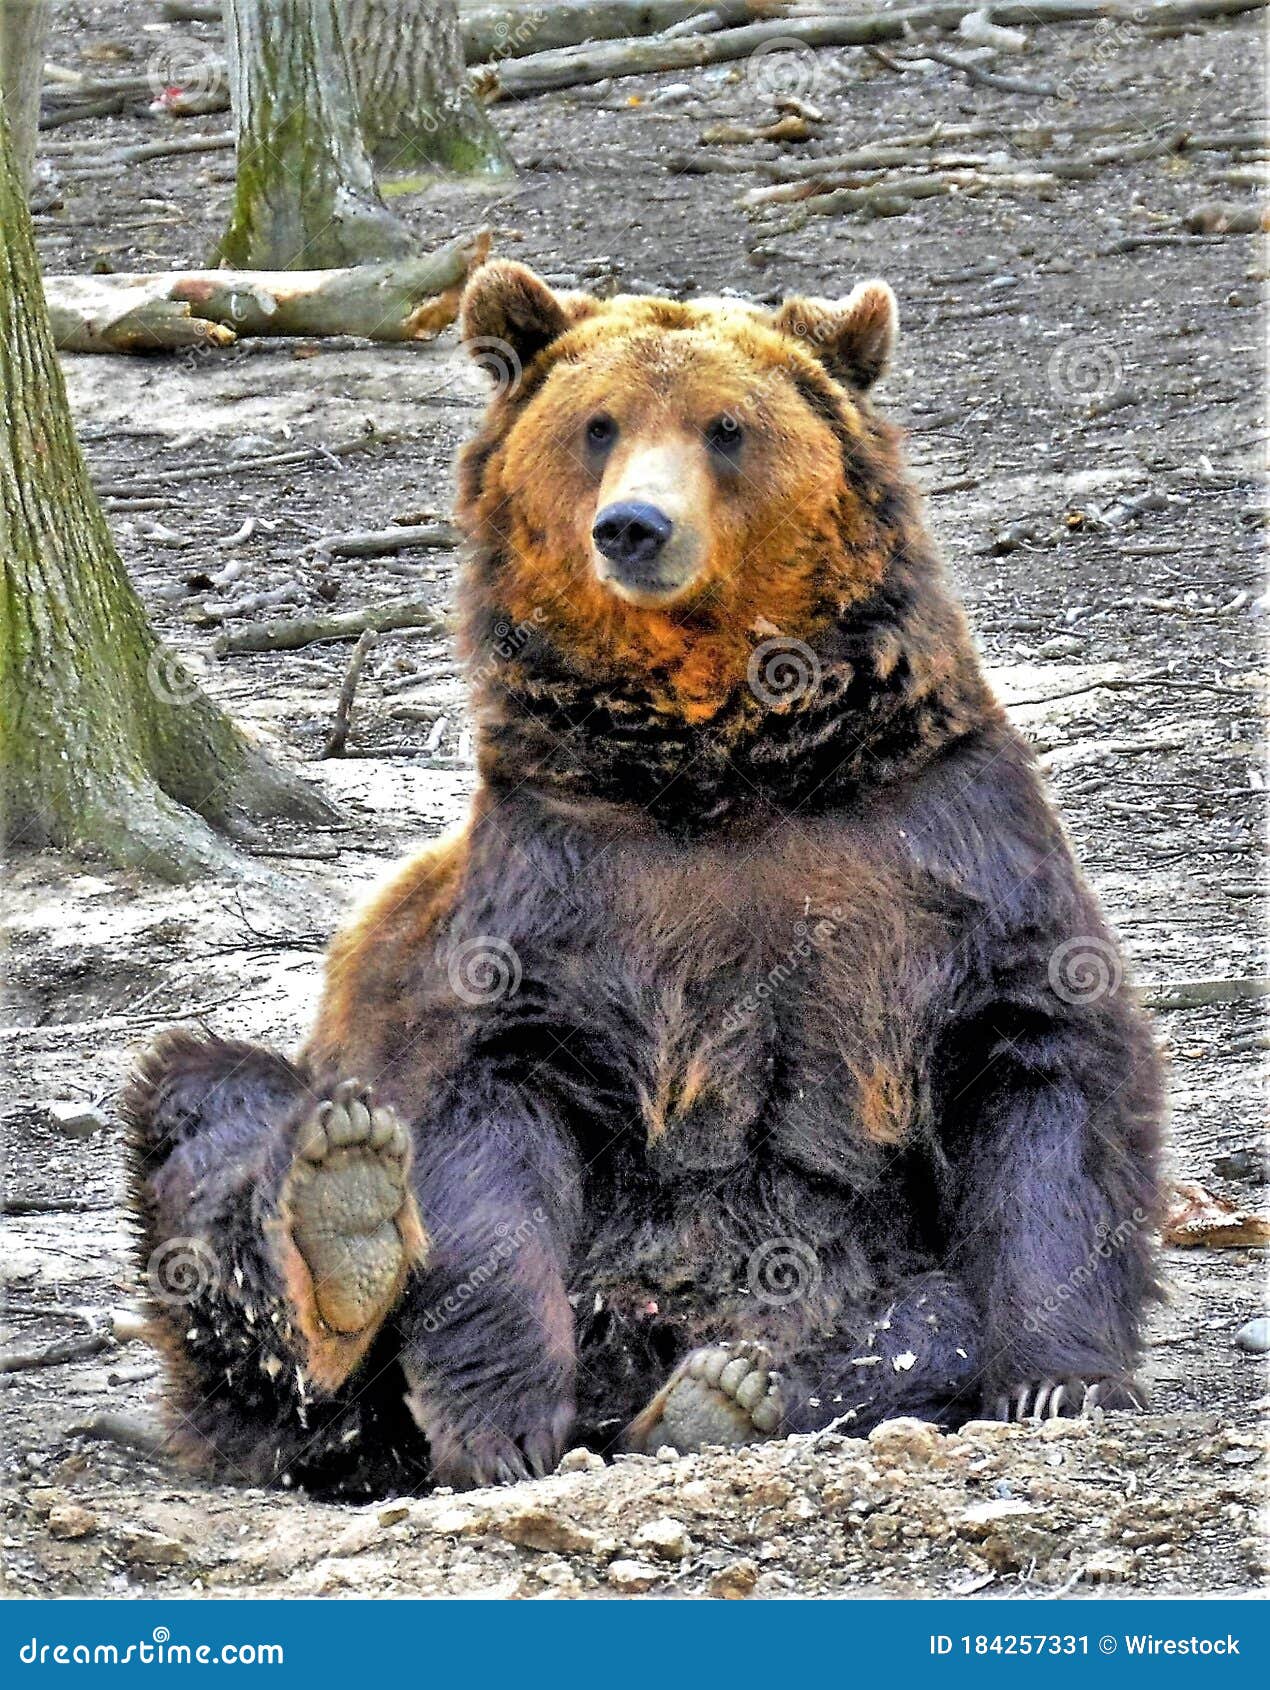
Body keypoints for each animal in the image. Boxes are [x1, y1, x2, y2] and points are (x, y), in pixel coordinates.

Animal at [122, 262, 1164, 1498]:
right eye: (597, 425)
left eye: (727, 426)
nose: (633, 525)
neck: (727, 766)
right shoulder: (558, 890)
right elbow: (489, 1108)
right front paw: (503, 1426)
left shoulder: (935, 836)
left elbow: (1040, 1060)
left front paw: (1061, 1379)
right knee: (214, 1108)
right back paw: (346, 1230)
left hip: (852, 1274)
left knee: (921, 1320)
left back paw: (724, 1394)